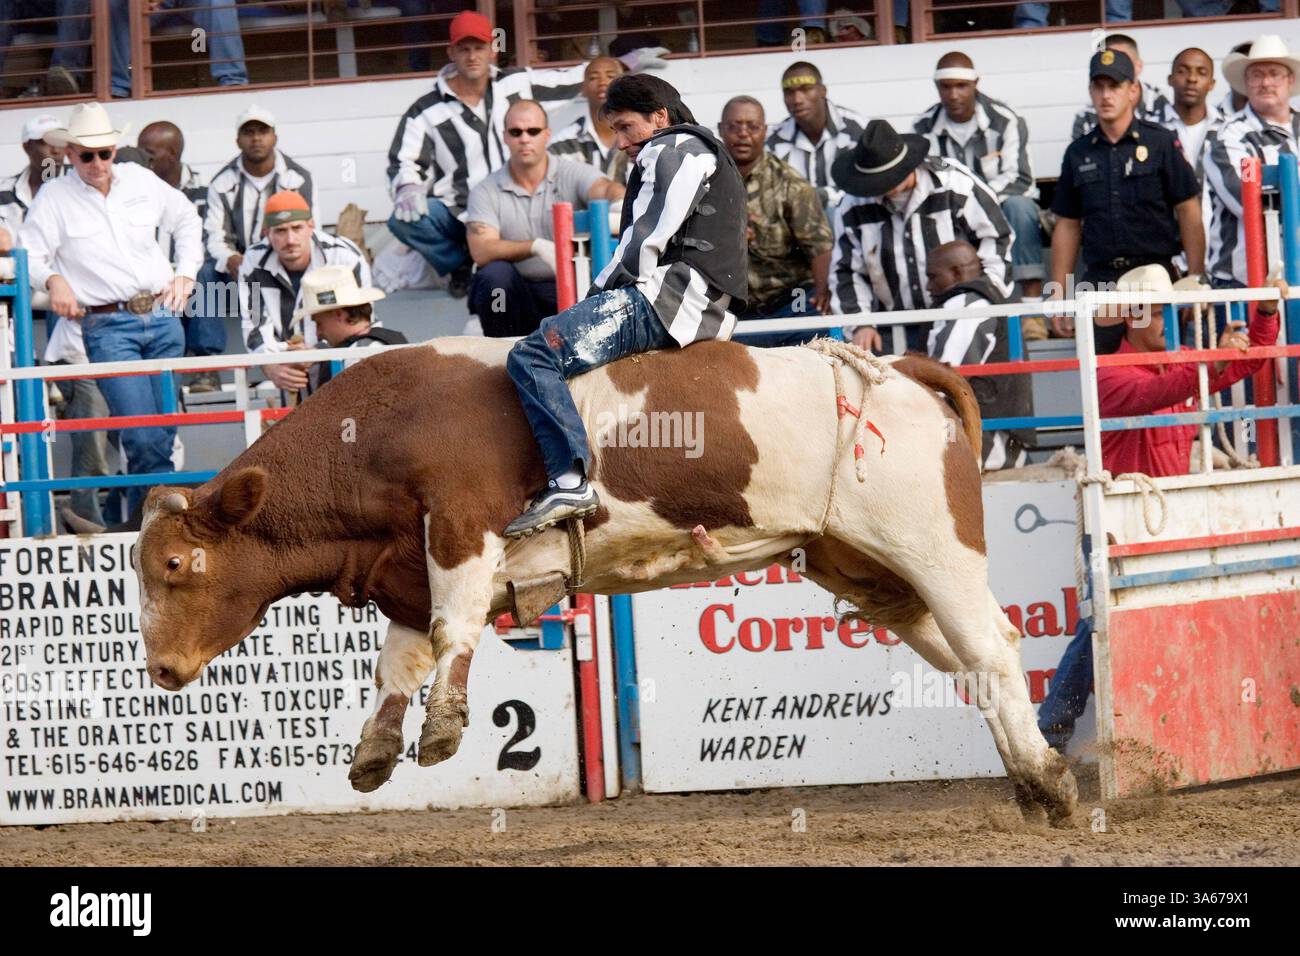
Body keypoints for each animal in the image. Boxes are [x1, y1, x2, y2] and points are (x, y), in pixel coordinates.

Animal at [133, 337, 1078, 826]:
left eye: (175, 566)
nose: (161, 670)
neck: (373, 435)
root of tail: (896, 373)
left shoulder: (460, 531)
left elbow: (454, 629)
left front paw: (442, 730)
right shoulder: (406, 568)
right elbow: (398, 660)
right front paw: (373, 750)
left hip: (931, 545)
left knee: (992, 647)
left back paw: (1054, 784)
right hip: (870, 568)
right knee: (966, 664)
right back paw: (1033, 782)